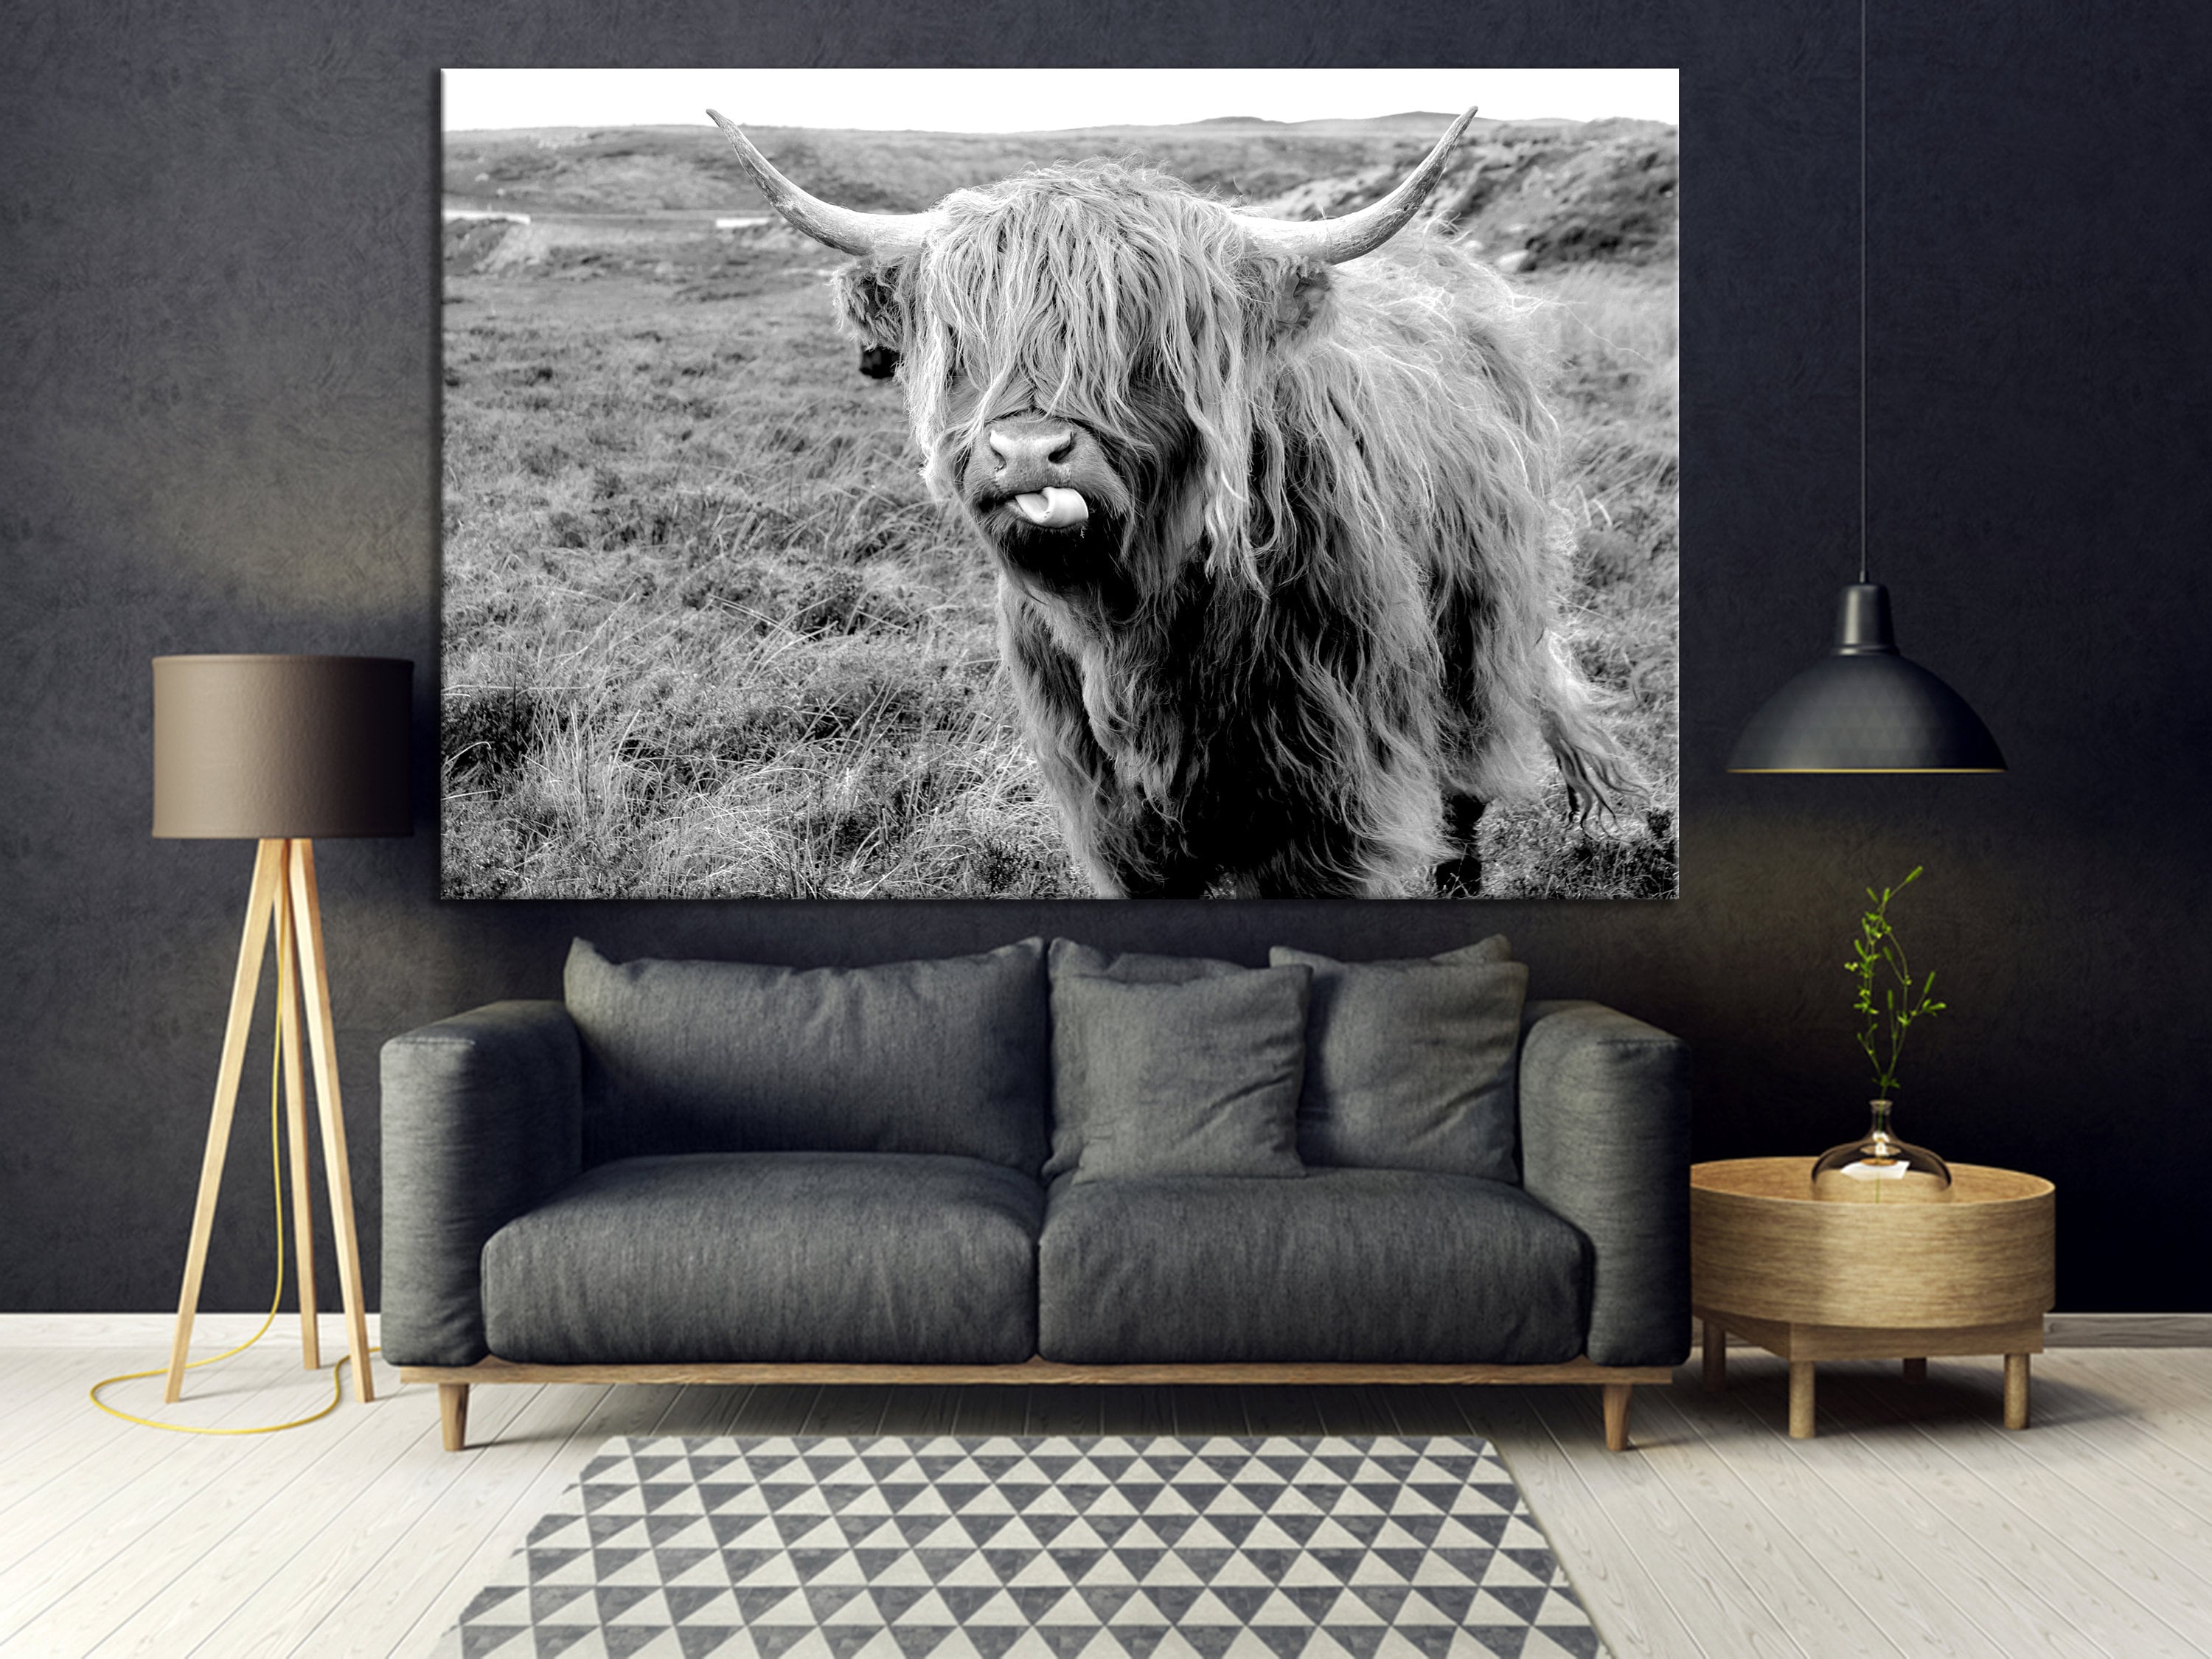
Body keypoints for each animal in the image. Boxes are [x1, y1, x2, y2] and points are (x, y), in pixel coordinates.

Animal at [710, 107, 1636, 897]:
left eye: (1145, 345)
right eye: (964, 345)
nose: (1027, 453)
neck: (1137, 625)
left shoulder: (1329, 802)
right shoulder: (1114, 815)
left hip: (1479, 632)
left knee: (1466, 782)